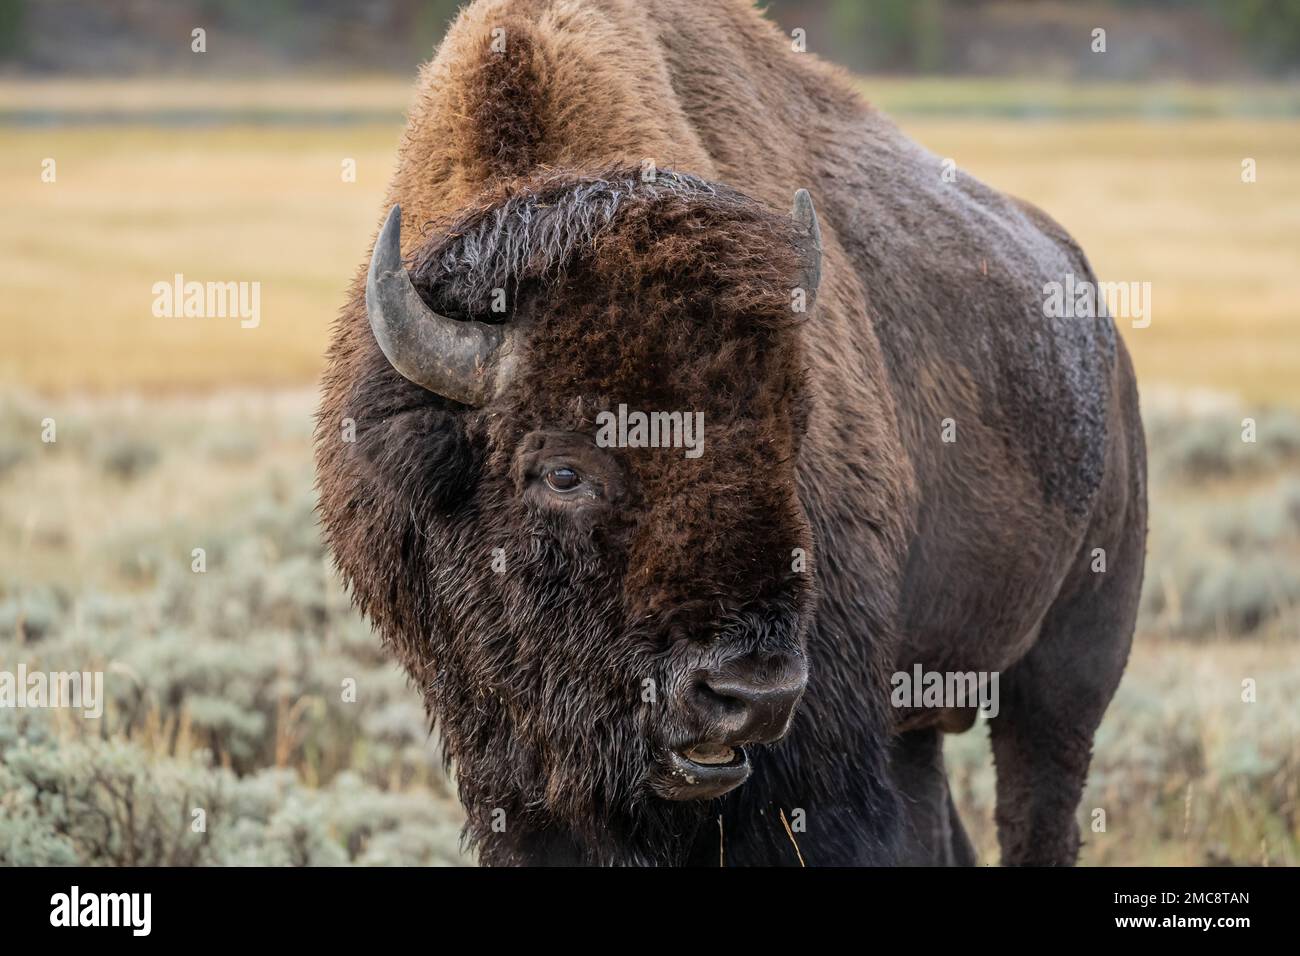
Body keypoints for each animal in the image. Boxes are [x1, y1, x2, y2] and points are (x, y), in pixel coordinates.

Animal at [315, 0, 1146, 866]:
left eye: (789, 444)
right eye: (563, 472)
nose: (750, 692)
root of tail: (1101, 328)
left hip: (1071, 661)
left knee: (1038, 800)